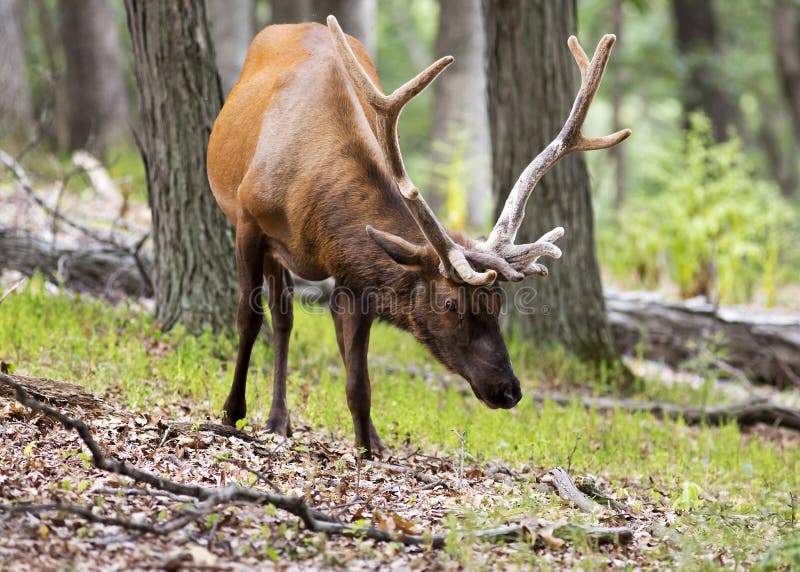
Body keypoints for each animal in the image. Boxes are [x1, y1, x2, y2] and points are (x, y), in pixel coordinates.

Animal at [206, 16, 630, 459]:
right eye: (450, 303)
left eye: (498, 303)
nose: (510, 391)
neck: (309, 205)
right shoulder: (248, 221)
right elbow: (248, 318)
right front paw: (231, 412)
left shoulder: (354, 271)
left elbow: (358, 379)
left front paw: (368, 447)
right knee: (281, 314)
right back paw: (273, 418)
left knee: (293, 318)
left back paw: (290, 421)